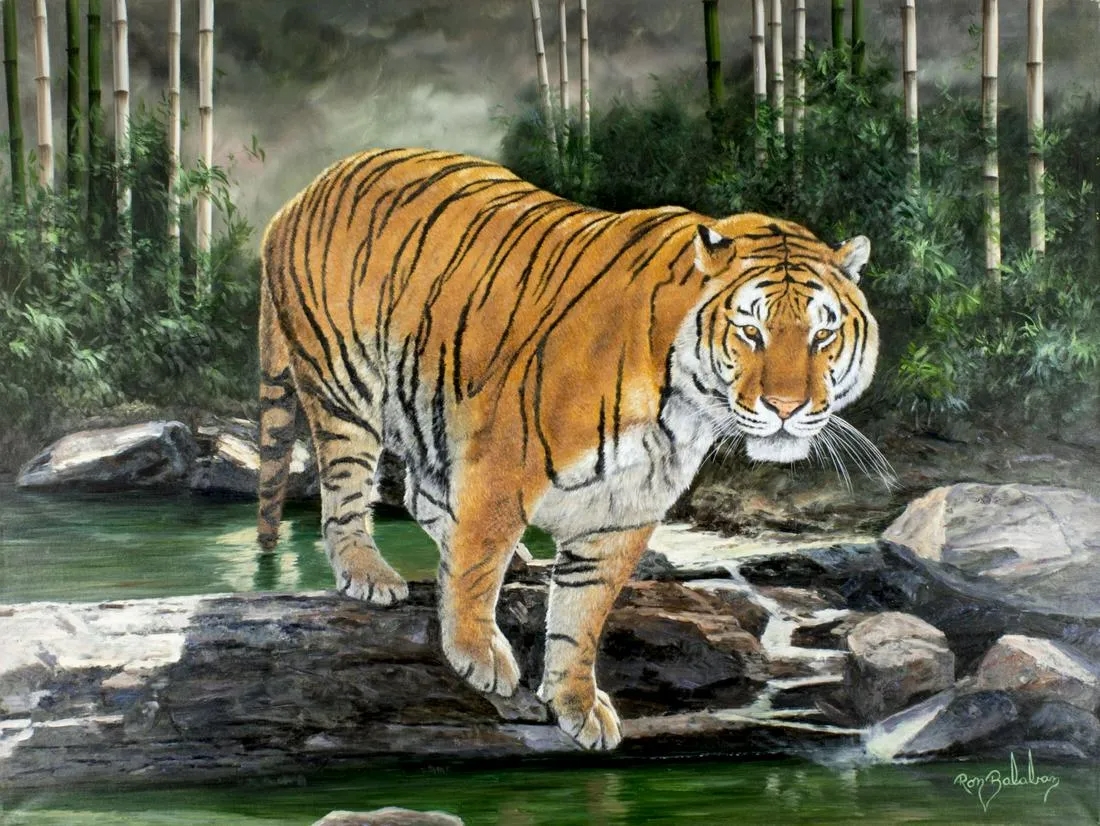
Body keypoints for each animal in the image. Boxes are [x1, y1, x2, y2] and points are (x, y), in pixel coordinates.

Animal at [256, 148, 880, 751]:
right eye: (751, 332)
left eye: (822, 335)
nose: (786, 407)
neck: (681, 410)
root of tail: (299, 197)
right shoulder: (503, 464)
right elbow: (477, 565)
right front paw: (477, 655)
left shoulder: (622, 511)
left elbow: (581, 615)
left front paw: (576, 704)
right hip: (344, 389)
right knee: (344, 497)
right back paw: (369, 573)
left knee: (421, 497)